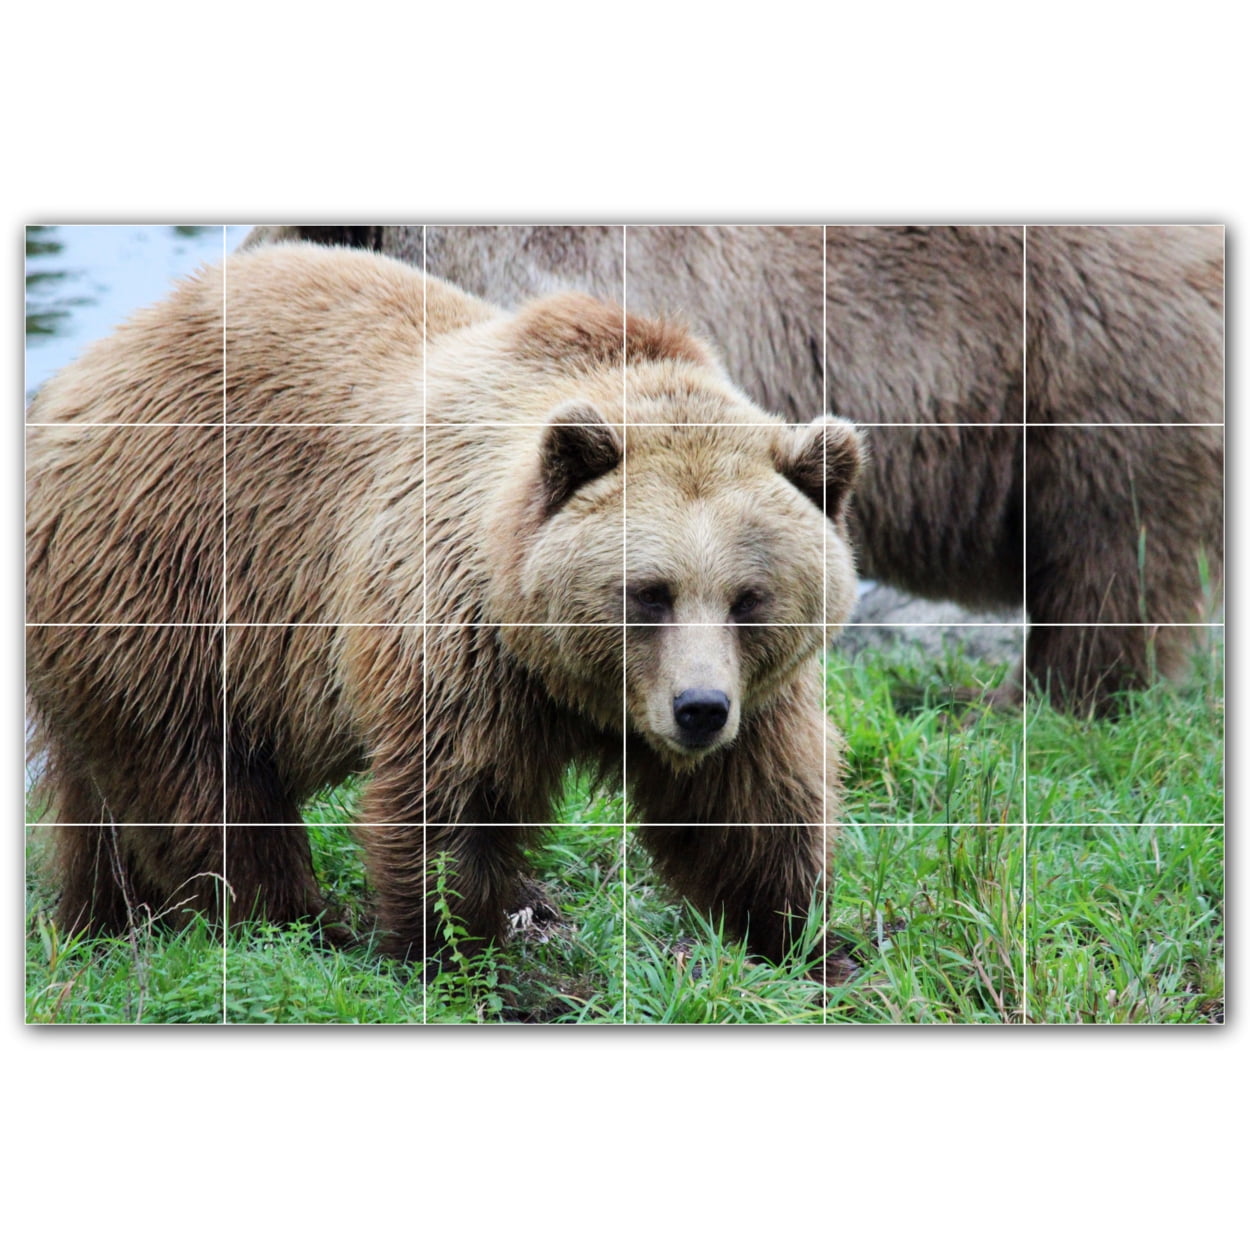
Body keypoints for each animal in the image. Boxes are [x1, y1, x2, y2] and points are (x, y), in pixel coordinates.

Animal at [25, 242, 863, 982]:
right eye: (648, 591)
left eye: (749, 598)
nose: (698, 709)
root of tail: (80, 372)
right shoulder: (462, 634)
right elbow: (455, 797)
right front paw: (449, 951)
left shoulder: (758, 691)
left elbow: (756, 806)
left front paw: (809, 943)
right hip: (171, 571)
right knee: (202, 780)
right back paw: (293, 920)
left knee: (105, 803)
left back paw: (105, 917)